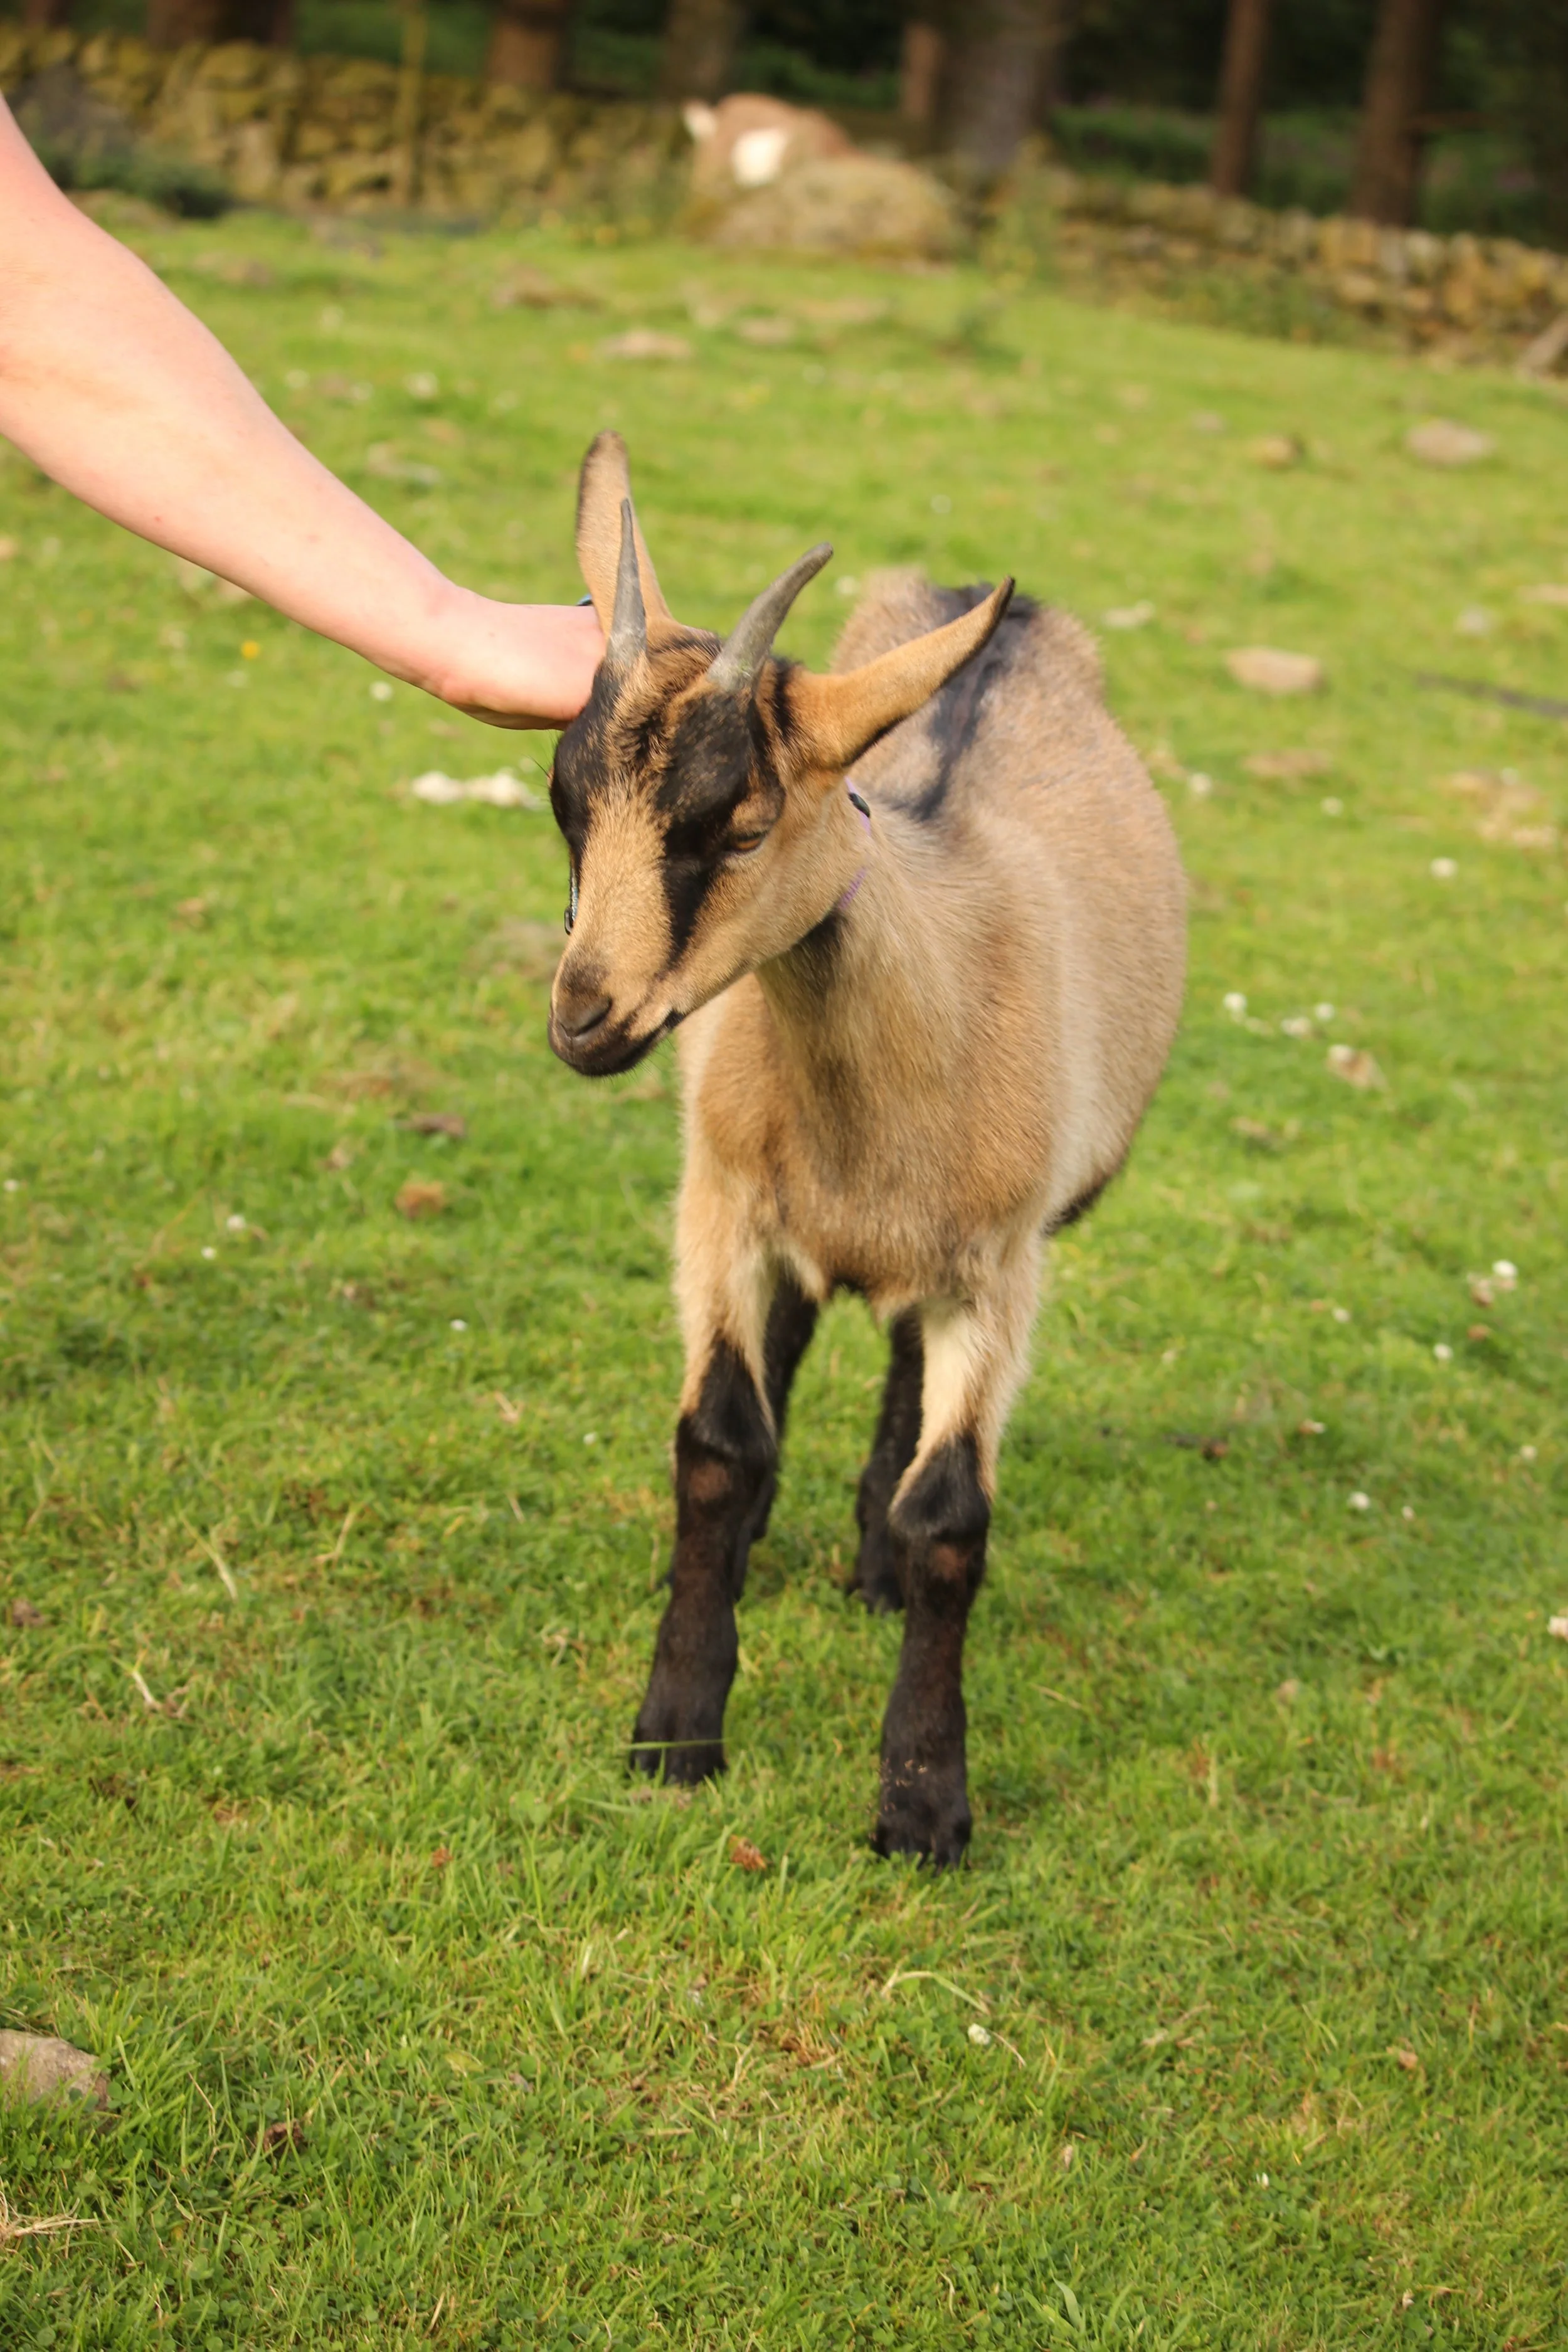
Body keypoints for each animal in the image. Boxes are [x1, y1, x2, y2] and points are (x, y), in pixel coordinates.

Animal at [546, 432, 1185, 1864]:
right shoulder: (721, 1206)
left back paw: (873, 1563)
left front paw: (923, 1805)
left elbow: (953, 1520)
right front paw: (677, 1727)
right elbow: (716, 1443)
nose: (583, 1017)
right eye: (567, 804)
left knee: (897, 1359)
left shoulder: (1001, 1268)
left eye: (737, 820)